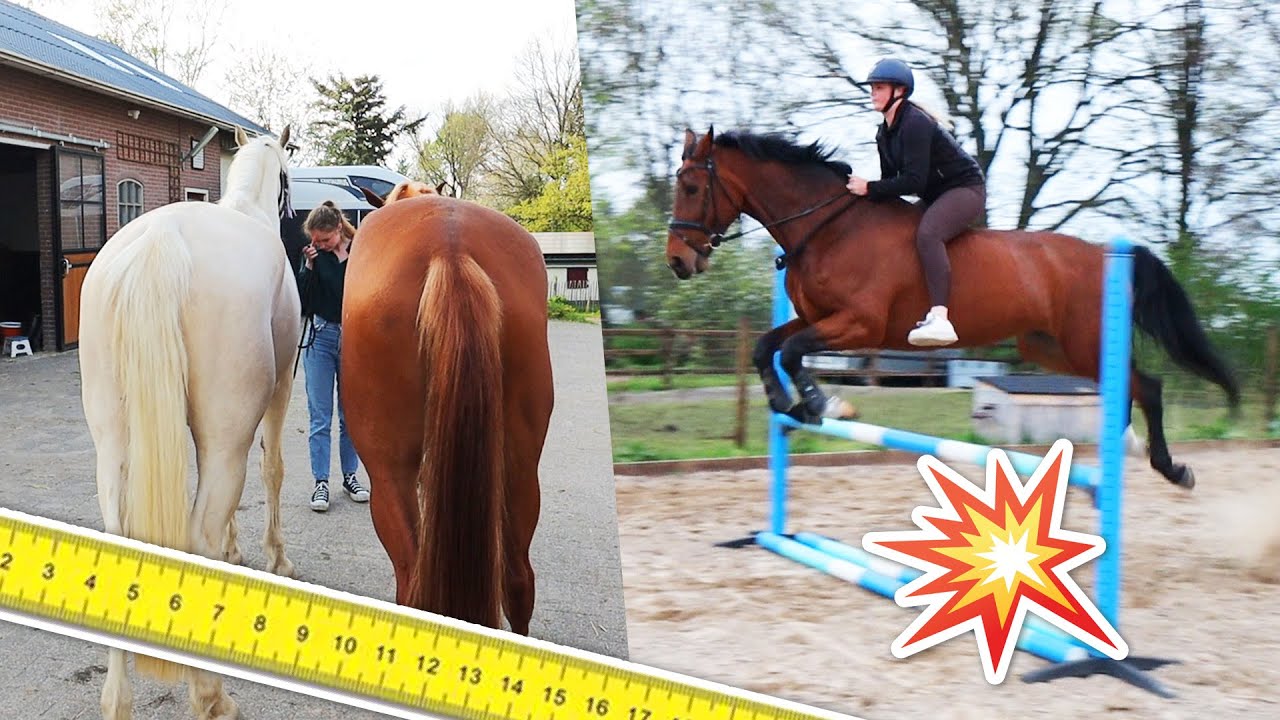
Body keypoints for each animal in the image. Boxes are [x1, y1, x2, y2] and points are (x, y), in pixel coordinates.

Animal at [78, 125, 300, 720]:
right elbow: (273, 470)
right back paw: (211, 696)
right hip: (225, 439)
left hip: (113, 443)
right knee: (199, 532)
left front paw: (236, 552)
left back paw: (117, 701)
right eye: (288, 178)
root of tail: (161, 241)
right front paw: (275, 557)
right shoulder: (281, 389)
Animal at [665, 127, 1240, 491]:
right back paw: (1129, 450)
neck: (829, 227)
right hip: (1052, 347)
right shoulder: (816, 317)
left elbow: (793, 352)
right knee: (1129, 388)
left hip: (1084, 340)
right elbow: (769, 347)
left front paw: (825, 406)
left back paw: (1169, 467)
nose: (677, 261)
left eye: (691, 186)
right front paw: (788, 404)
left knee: (1148, 386)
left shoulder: (860, 325)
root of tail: (1104, 254)